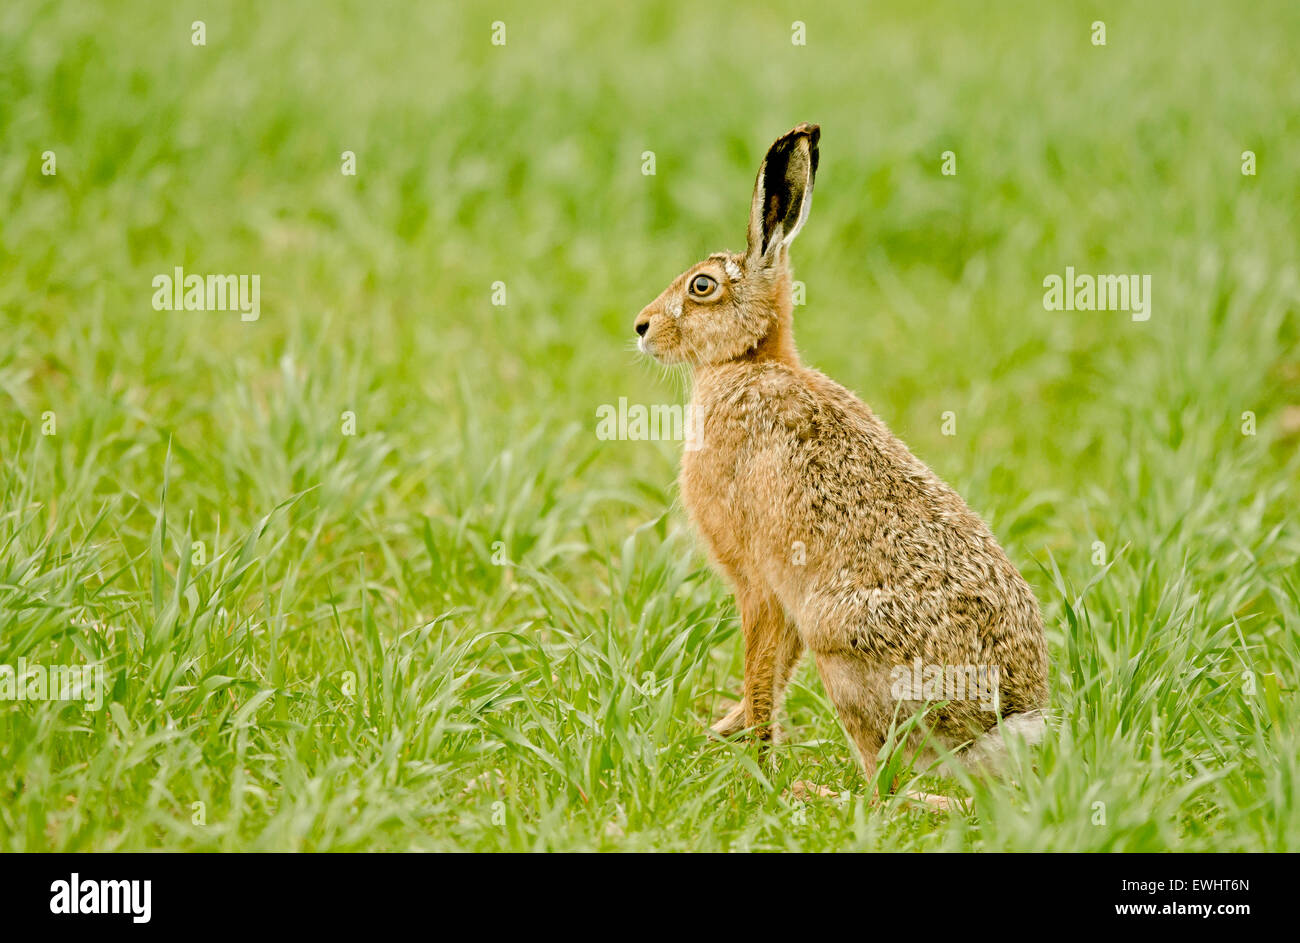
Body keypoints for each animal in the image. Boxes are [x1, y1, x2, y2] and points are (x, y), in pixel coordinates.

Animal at [633, 123, 1049, 791]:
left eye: (702, 286)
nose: (641, 327)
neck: (749, 362)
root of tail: (1002, 729)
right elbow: (774, 672)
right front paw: (725, 733)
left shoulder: (758, 584)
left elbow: (760, 668)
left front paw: (754, 758)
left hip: (844, 650)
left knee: (892, 788)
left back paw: (821, 791)